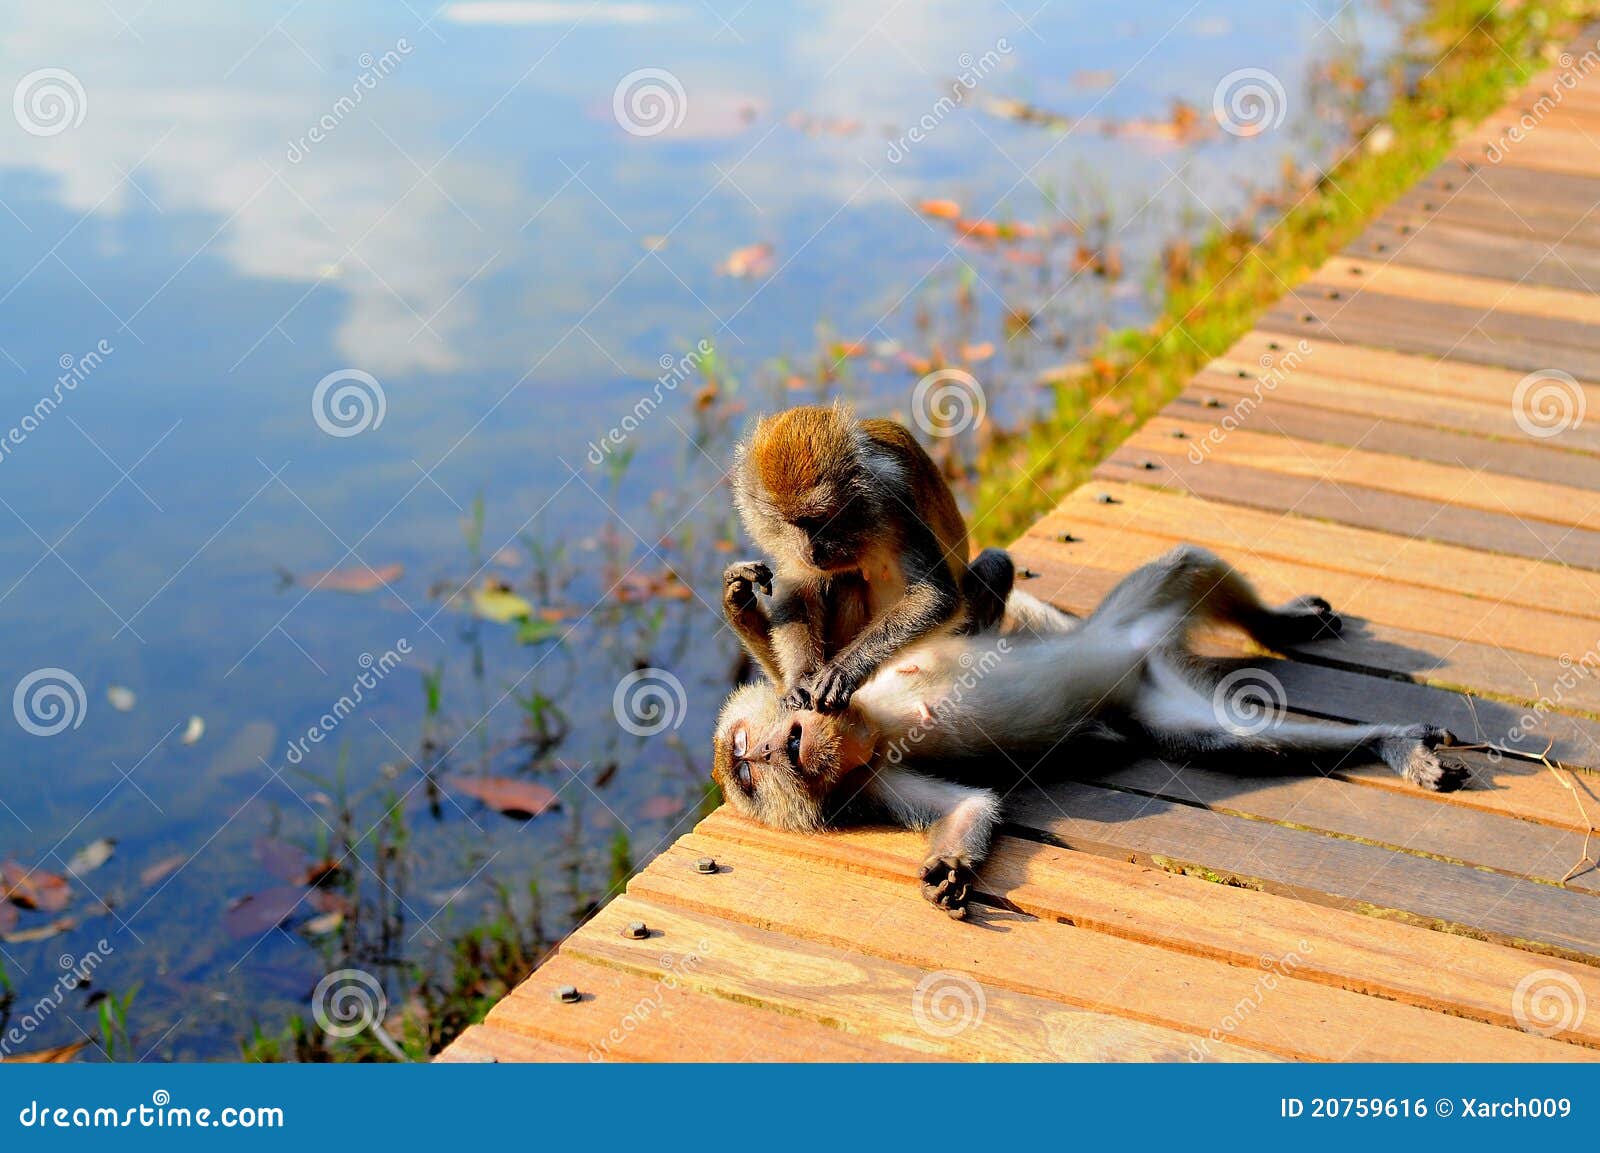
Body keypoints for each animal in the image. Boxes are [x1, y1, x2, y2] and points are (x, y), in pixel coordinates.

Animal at [714, 544, 1469, 915]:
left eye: (755, 755)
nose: (786, 745)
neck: (869, 724)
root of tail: (1143, 650)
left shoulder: (835, 687)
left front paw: (743, 605)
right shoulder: (871, 779)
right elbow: (970, 805)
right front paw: (953, 865)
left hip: (1127, 614)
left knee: (1185, 562)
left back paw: (1279, 626)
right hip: (1153, 693)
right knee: (1231, 740)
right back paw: (1386, 740)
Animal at [729, 403, 1012, 715]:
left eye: (819, 518)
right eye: (790, 522)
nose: (811, 551)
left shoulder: (897, 501)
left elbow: (935, 597)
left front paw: (844, 669)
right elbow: (798, 594)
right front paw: (799, 678)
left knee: (995, 564)